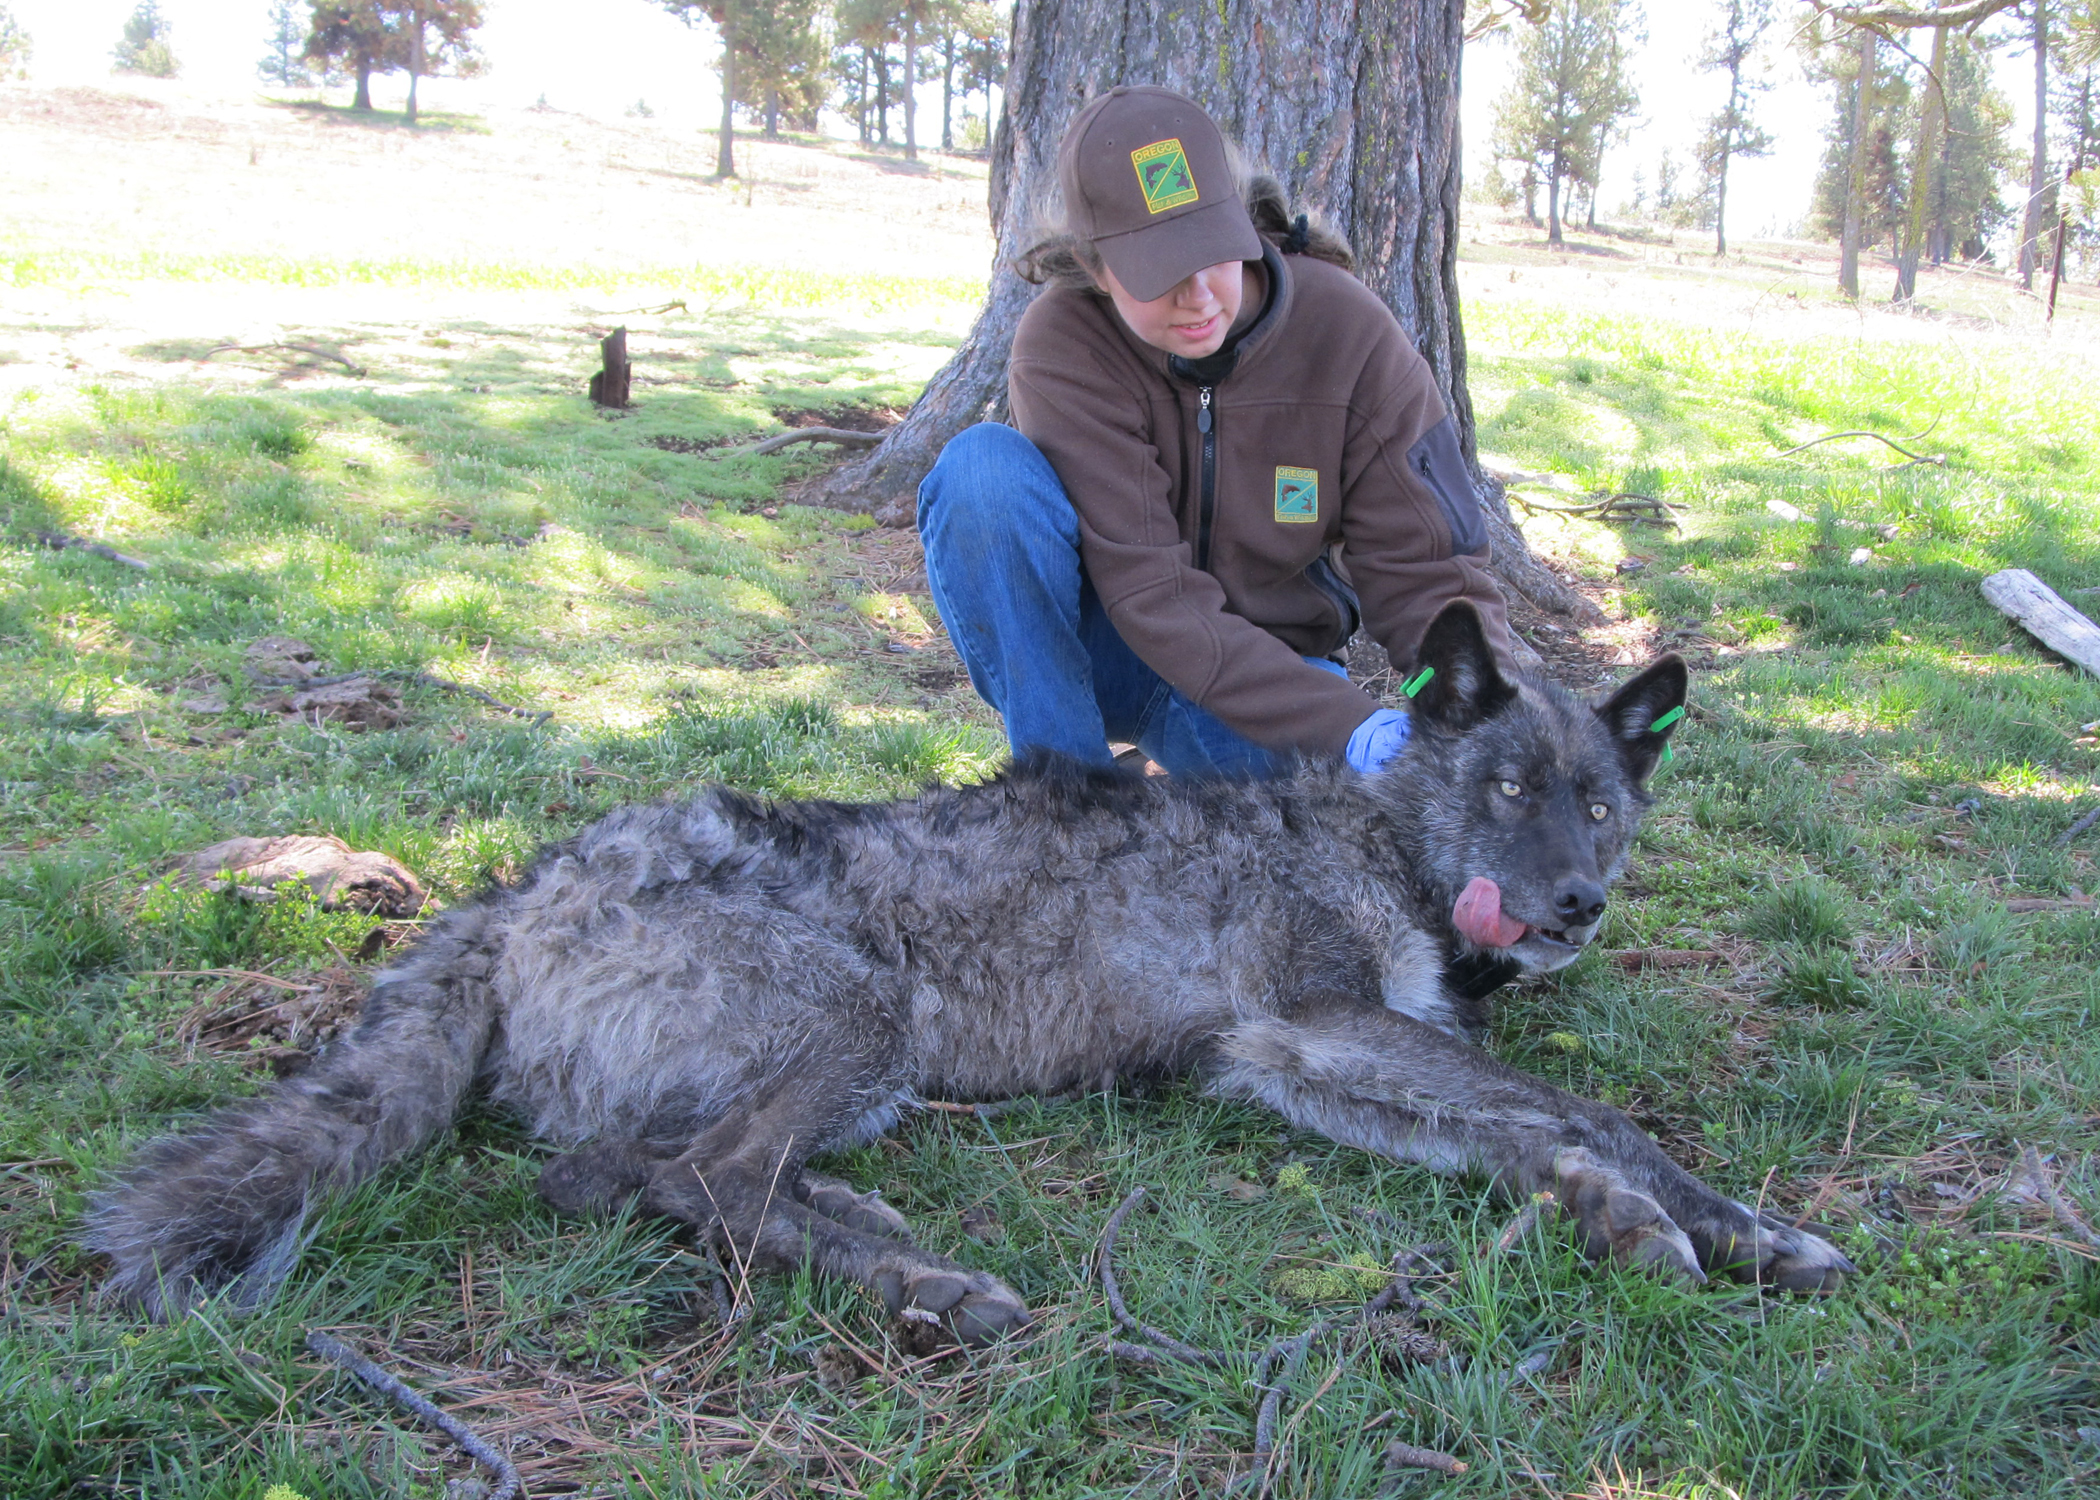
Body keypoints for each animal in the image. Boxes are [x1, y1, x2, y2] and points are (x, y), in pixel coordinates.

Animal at [88, 602, 1850, 1343]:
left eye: (1601, 805)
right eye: (1510, 788)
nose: (1575, 908)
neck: (1375, 829)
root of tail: (526, 885)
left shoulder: (1294, 1060)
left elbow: (1520, 1133)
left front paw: (1636, 1220)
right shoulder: (1325, 1021)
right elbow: (1579, 1112)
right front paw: (1714, 1219)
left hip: (840, 1069)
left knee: (626, 1175)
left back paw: (868, 1231)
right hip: (866, 1017)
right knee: (690, 1180)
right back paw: (920, 1289)